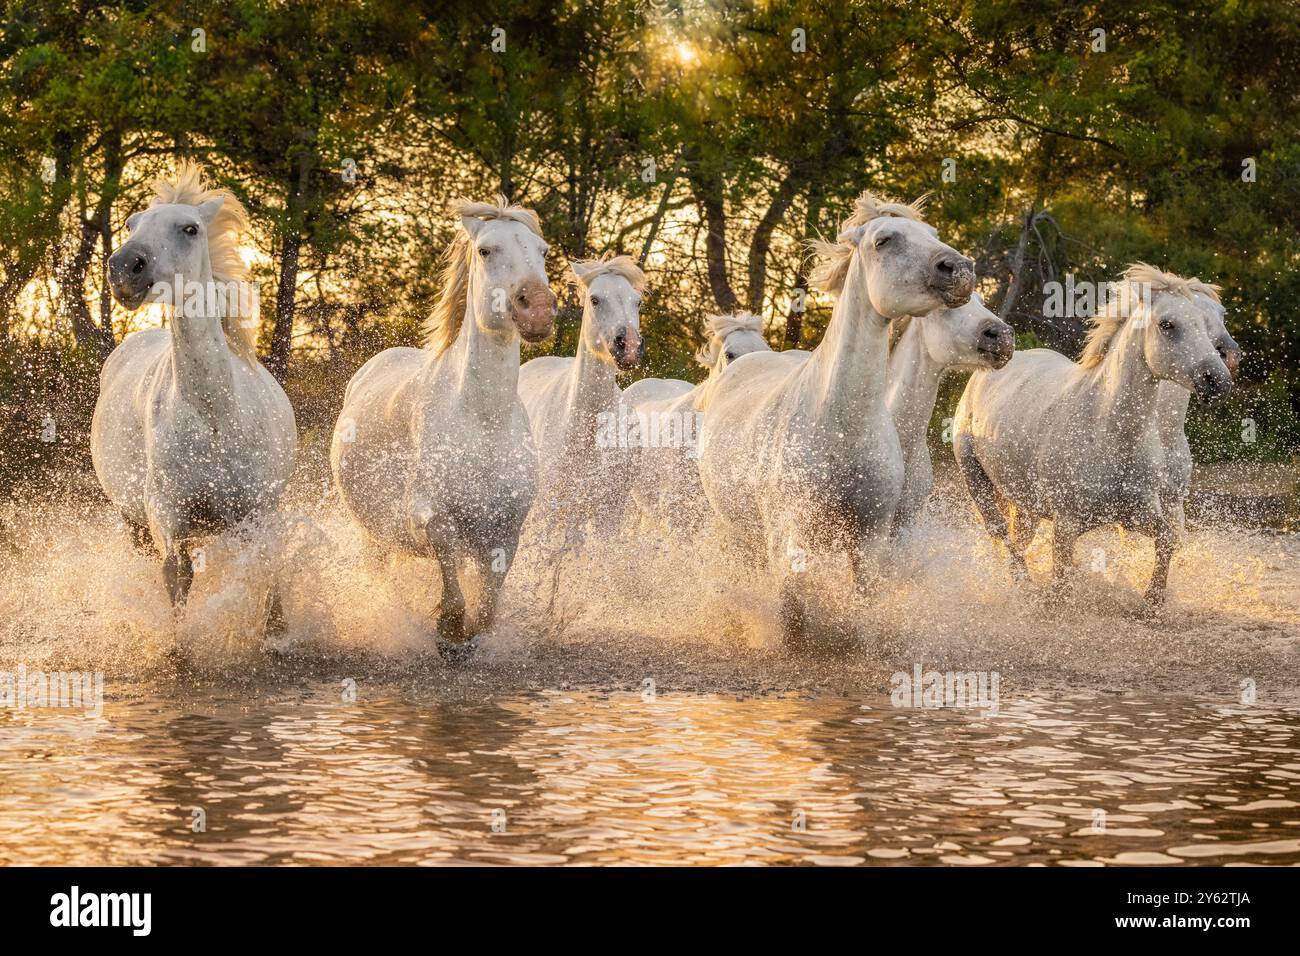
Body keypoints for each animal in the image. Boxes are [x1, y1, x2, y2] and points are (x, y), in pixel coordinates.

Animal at [92, 163, 296, 625]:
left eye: (190, 228)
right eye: (131, 224)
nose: (124, 267)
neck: (215, 417)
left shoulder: (259, 513)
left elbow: (267, 570)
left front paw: (276, 631)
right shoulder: (165, 513)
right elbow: (177, 575)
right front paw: (180, 639)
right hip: (132, 521)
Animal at [330, 197, 556, 660]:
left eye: (543, 251)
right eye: (486, 250)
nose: (539, 309)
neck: (484, 421)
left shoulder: (505, 529)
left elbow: (487, 607)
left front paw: (471, 638)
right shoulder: (430, 519)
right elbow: (451, 580)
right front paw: (448, 633)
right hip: (370, 535)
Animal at [696, 191, 976, 641]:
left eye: (932, 232)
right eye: (884, 240)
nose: (960, 270)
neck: (843, 427)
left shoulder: (872, 536)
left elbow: (863, 604)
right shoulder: (790, 534)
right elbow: (792, 608)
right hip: (739, 529)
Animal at [952, 263, 1234, 608]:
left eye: (1212, 319)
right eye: (1167, 324)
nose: (1219, 379)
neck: (1108, 432)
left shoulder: (1142, 511)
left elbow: (1167, 540)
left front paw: (1152, 600)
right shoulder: (1066, 524)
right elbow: (1062, 581)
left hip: (1026, 500)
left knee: (1019, 538)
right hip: (976, 479)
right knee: (1001, 534)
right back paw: (1023, 586)